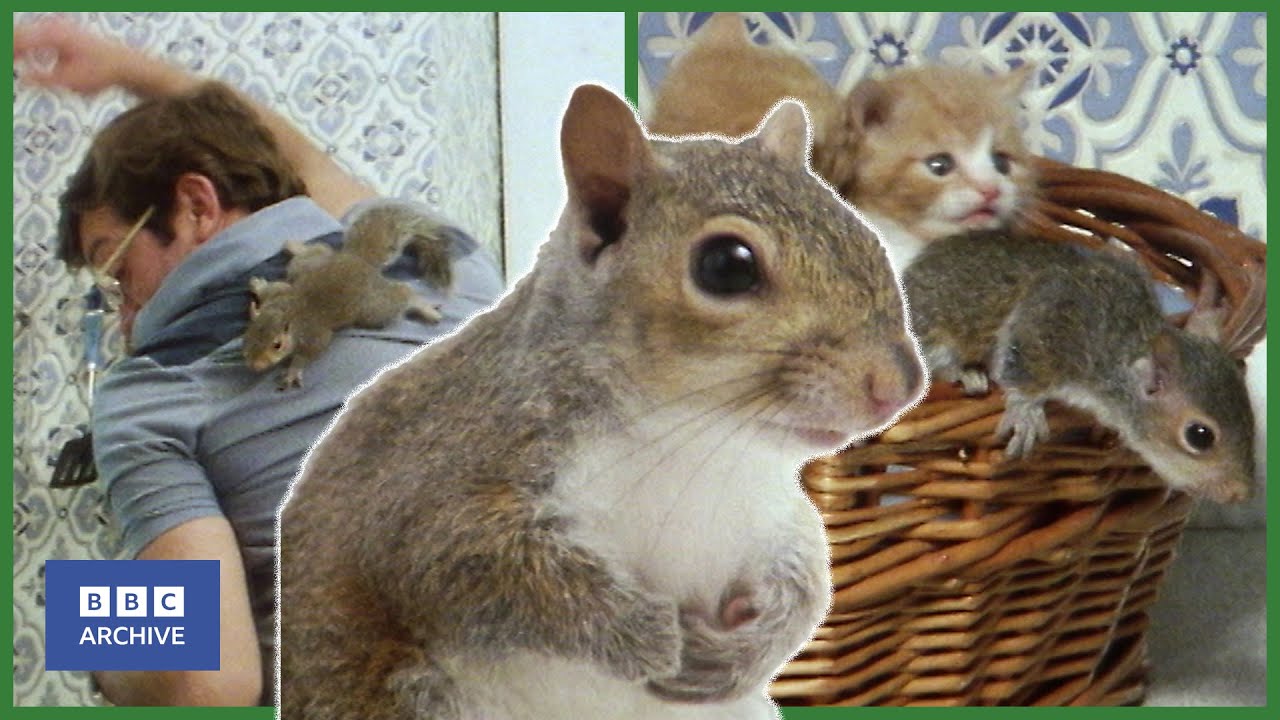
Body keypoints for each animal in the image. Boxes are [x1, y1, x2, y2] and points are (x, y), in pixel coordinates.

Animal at [243, 203, 452, 389]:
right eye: (247, 336)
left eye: (277, 345)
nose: (255, 366)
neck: (289, 313)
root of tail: (360, 260)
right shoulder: (280, 294)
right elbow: (273, 289)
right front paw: (259, 287)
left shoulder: (315, 335)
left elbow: (309, 354)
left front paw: (293, 371)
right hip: (307, 265)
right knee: (320, 249)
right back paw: (293, 246)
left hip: (374, 309)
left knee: (403, 293)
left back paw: (423, 307)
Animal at [277, 86, 925, 720]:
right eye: (726, 266)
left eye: (863, 232)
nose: (900, 385)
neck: (694, 440)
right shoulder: (442, 479)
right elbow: (477, 567)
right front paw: (648, 636)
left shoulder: (766, 511)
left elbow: (807, 570)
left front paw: (748, 648)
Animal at [902, 230, 1255, 503]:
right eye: (1199, 436)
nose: (1240, 494)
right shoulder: (1059, 321)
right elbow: (1026, 362)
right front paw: (1025, 411)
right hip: (934, 337)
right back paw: (967, 374)